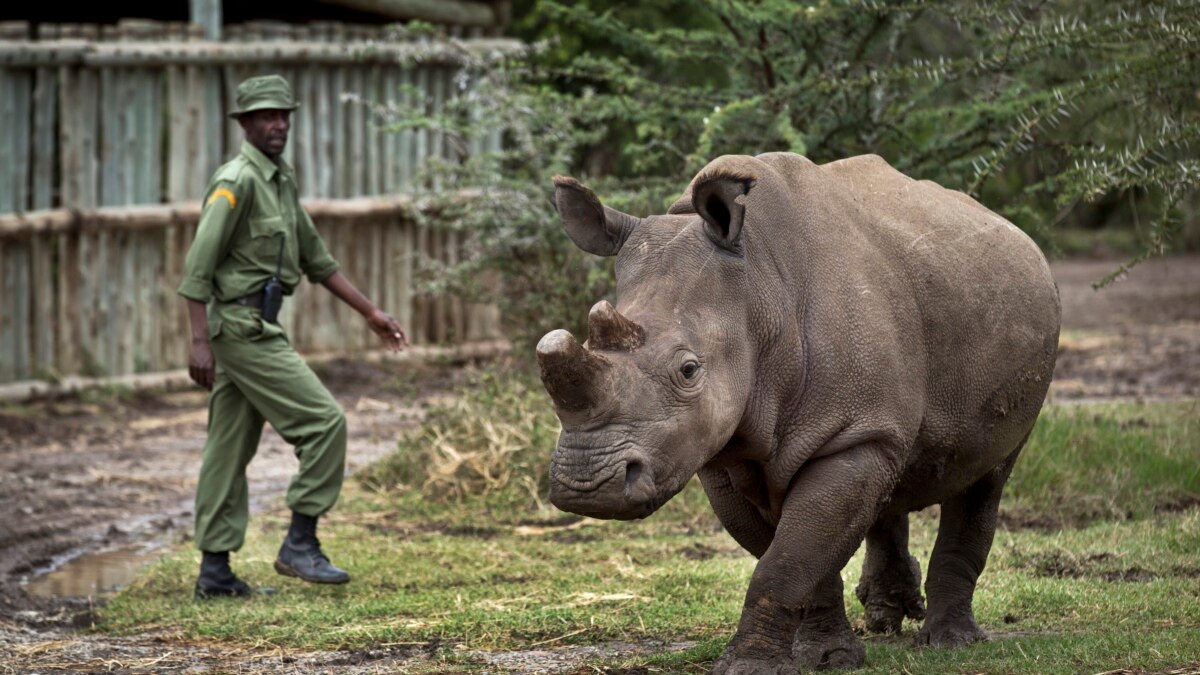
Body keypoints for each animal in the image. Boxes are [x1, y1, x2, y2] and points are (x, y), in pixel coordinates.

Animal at [536, 152, 1060, 673]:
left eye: (688, 370)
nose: (587, 485)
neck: (757, 294)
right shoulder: (721, 454)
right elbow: (802, 557)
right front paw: (827, 656)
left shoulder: (851, 434)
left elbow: (787, 560)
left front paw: (751, 667)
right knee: (894, 470)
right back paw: (887, 617)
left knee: (987, 476)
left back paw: (950, 643)